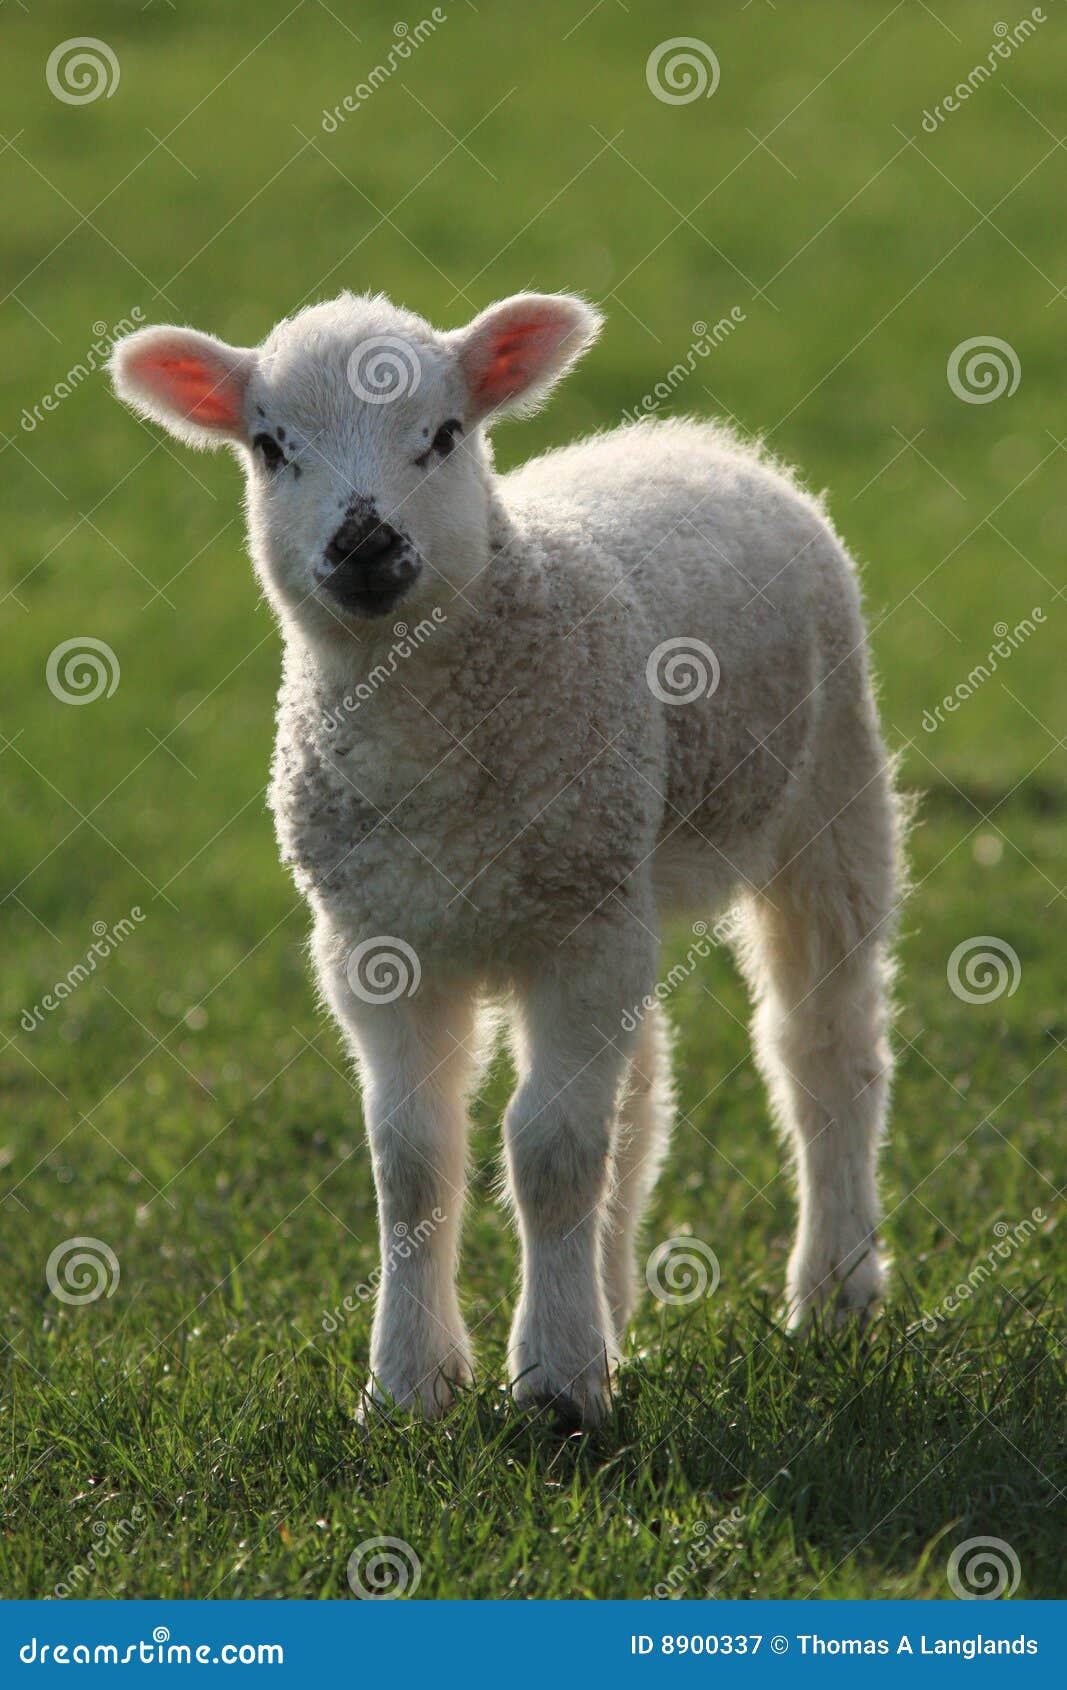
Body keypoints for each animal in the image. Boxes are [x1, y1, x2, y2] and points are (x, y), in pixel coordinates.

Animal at [110, 289, 902, 1429]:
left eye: (444, 435)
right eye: (270, 447)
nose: (364, 539)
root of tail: (701, 441)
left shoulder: (578, 933)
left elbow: (550, 1152)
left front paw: (558, 1387)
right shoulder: (376, 942)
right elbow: (414, 1160)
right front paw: (409, 1386)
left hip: (824, 788)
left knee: (823, 1050)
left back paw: (834, 1293)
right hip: (617, 868)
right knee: (642, 1097)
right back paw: (616, 1305)